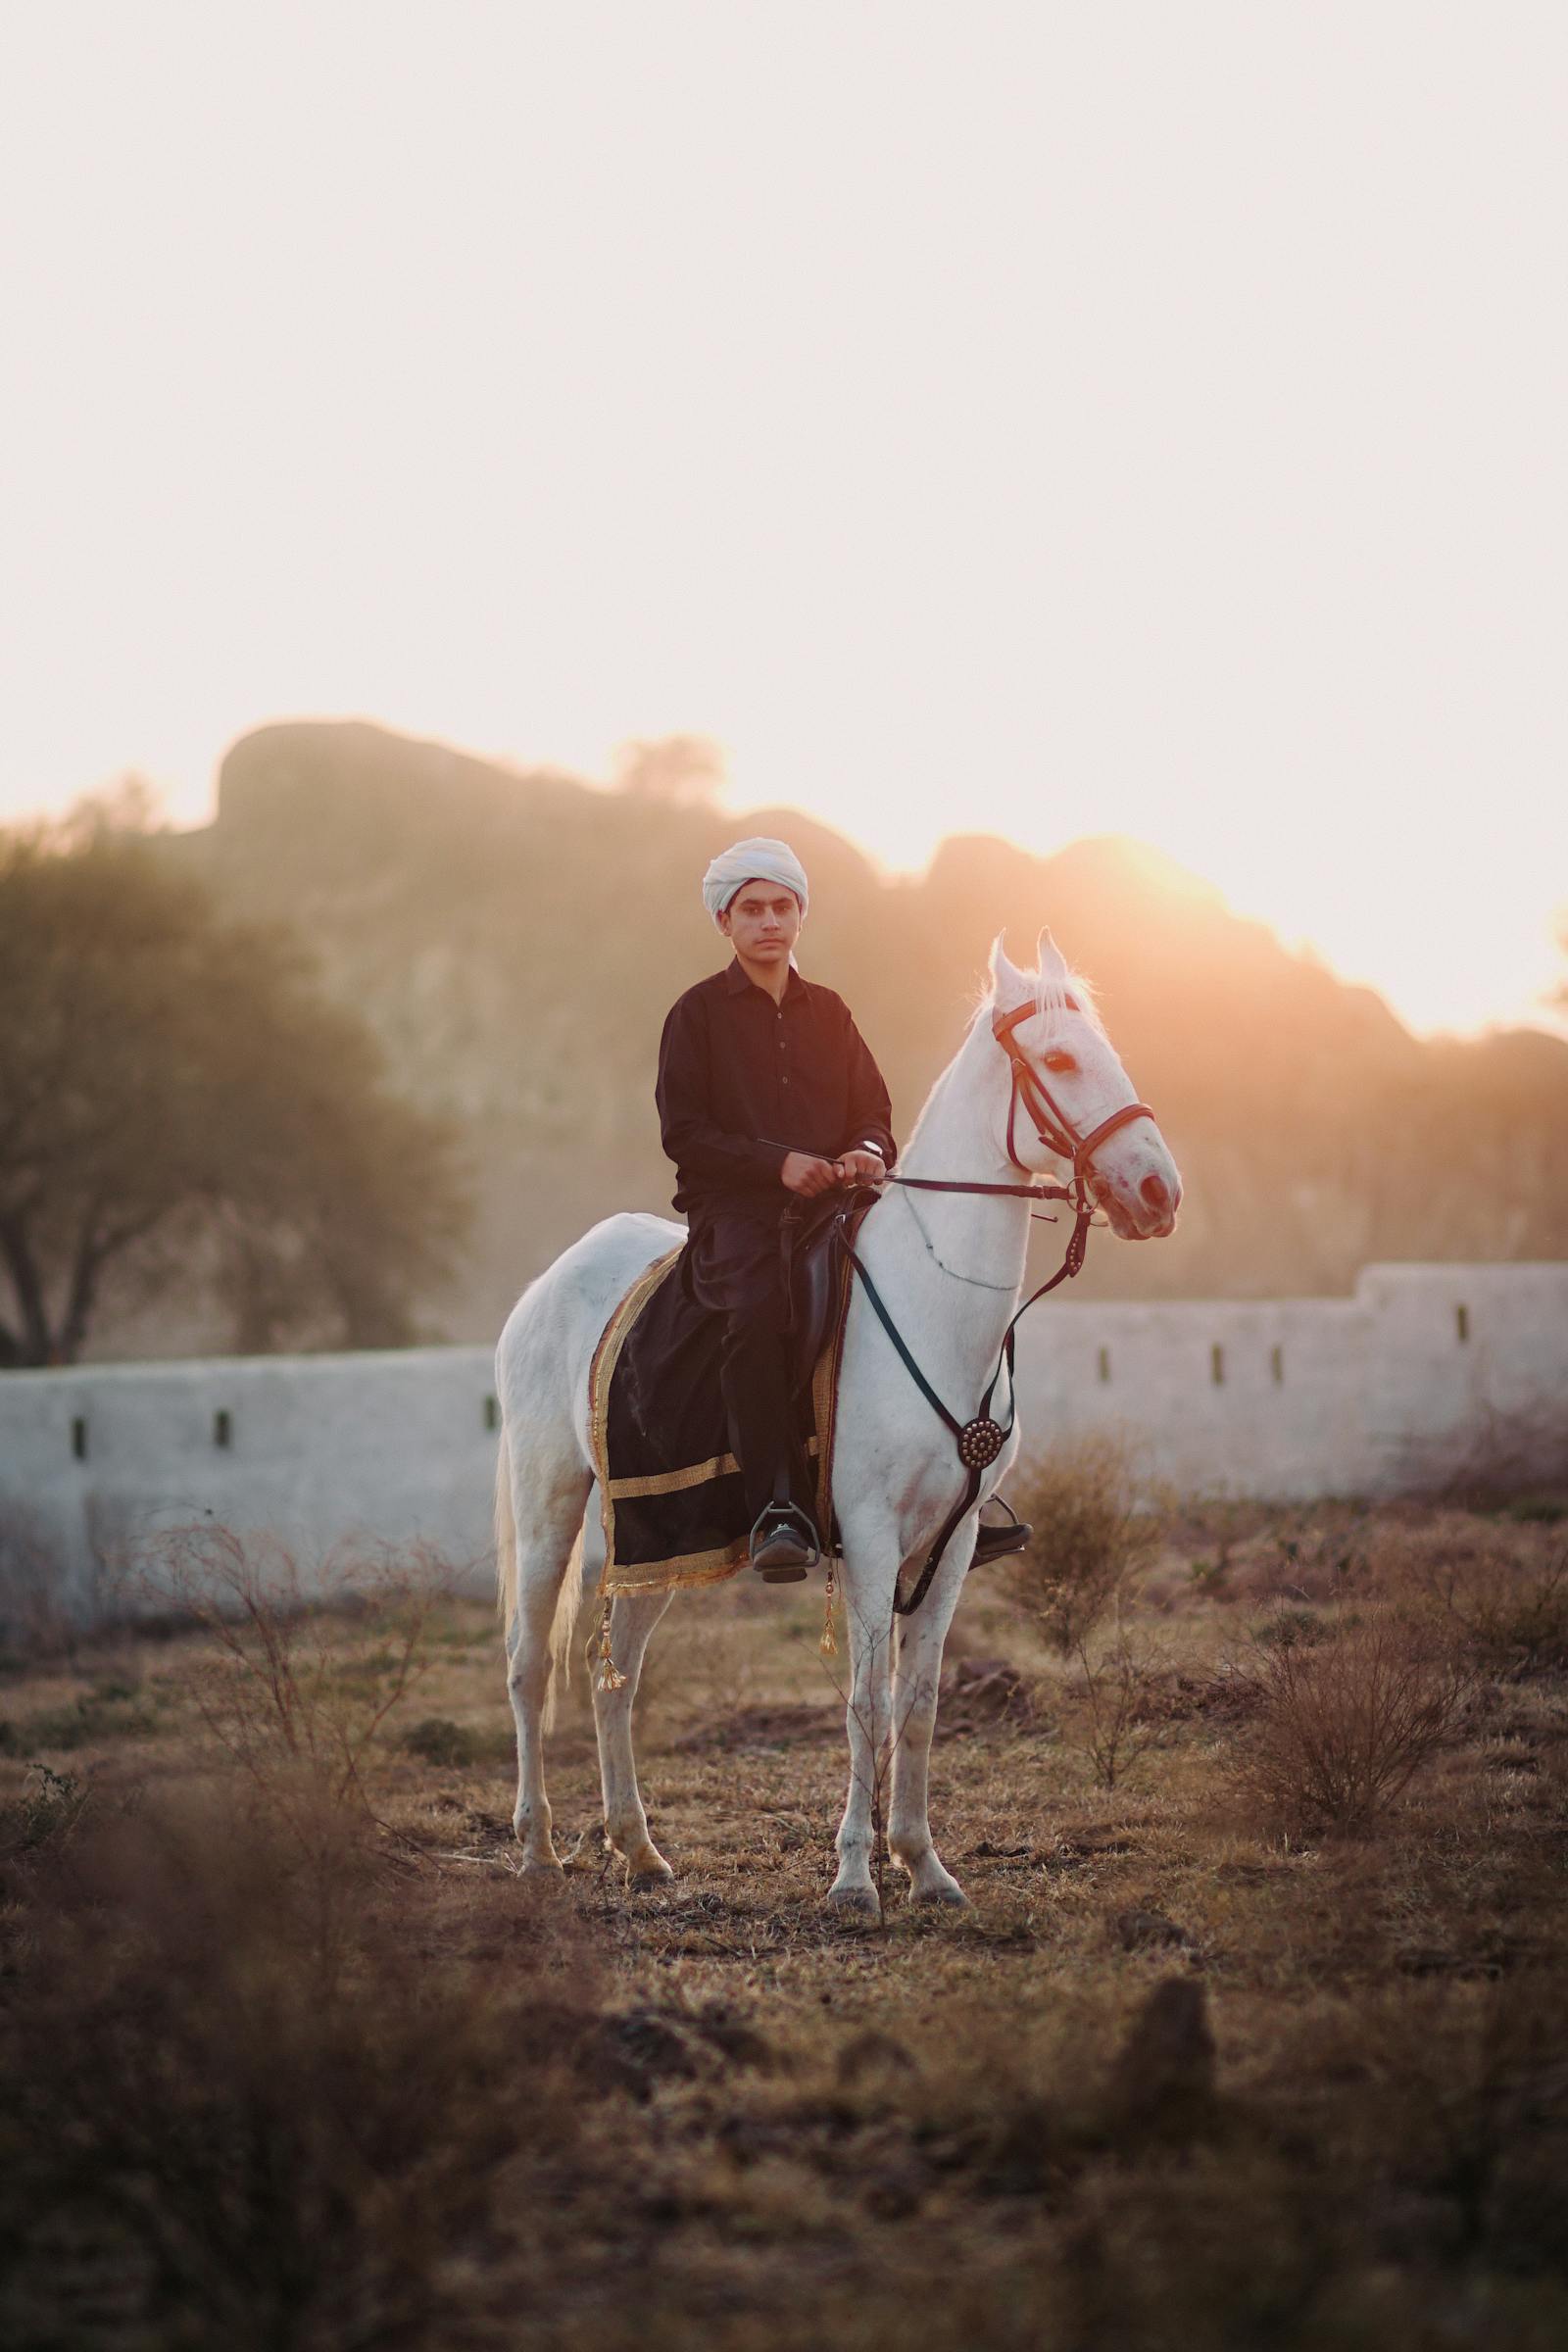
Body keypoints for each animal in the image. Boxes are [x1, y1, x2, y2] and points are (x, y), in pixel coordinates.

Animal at [494, 930, 1181, 1920]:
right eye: (1057, 1060)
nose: (1158, 1191)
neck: (936, 1303)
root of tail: (554, 1281)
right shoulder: (869, 1534)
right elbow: (865, 1702)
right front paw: (856, 1875)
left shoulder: (952, 1543)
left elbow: (919, 1704)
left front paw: (925, 1866)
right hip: (549, 1504)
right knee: (529, 1666)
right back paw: (539, 1850)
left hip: (660, 1538)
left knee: (609, 1672)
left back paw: (638, 1850)